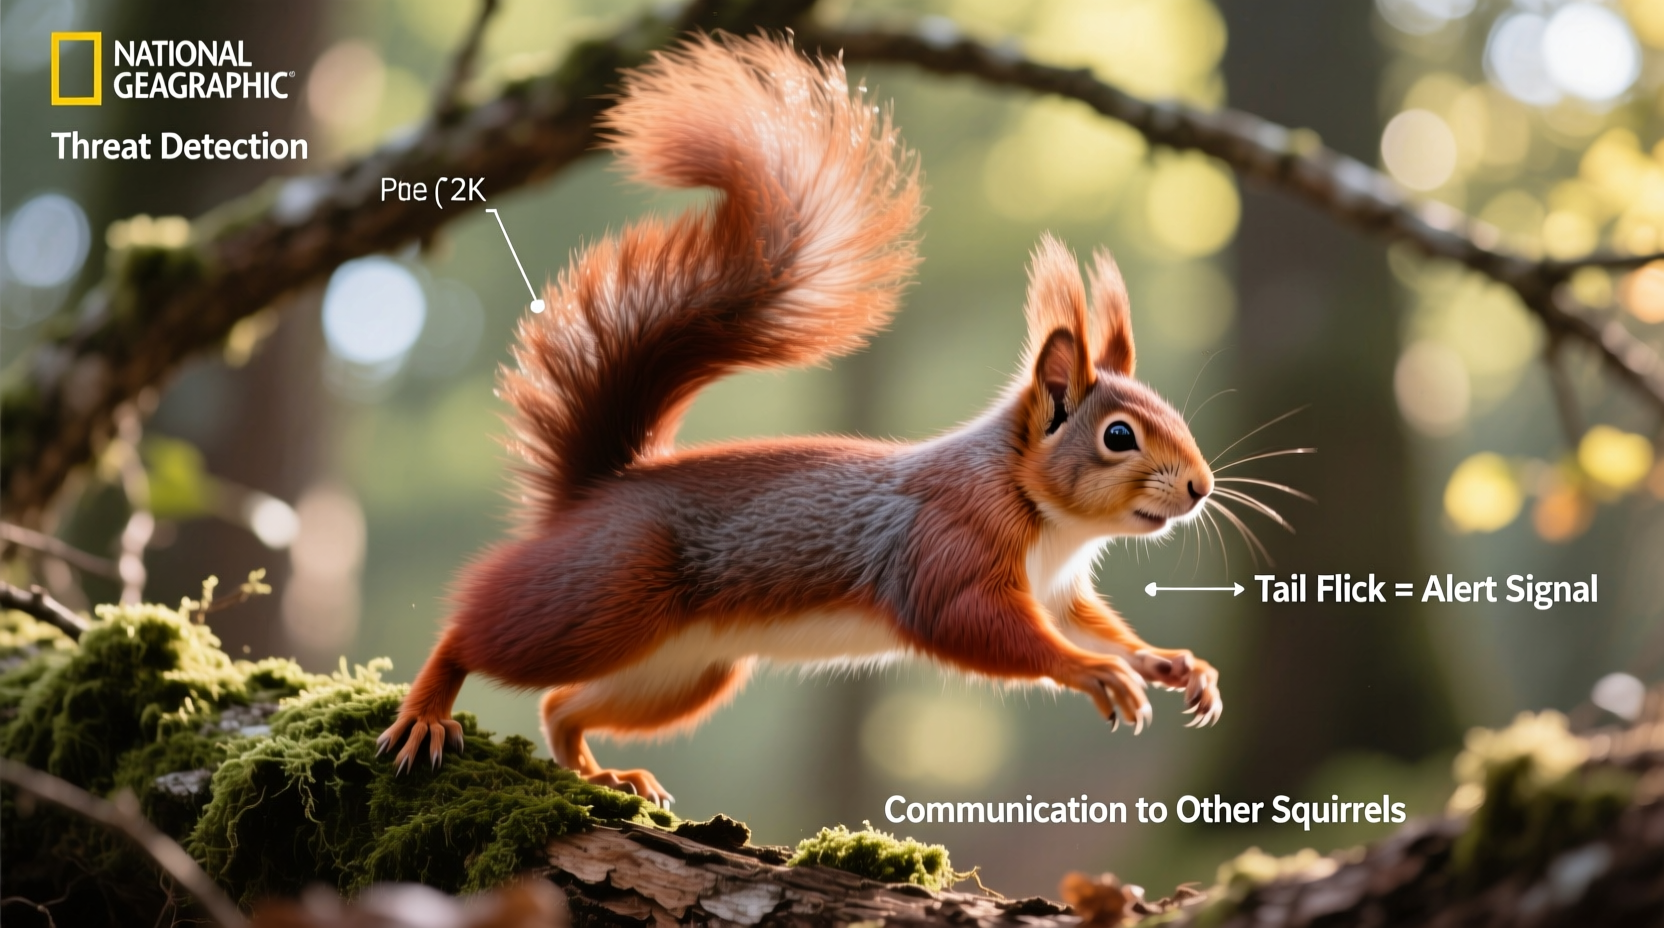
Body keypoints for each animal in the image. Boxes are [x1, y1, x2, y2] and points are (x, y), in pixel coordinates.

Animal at [377, 34, 1222, 805]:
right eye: (1119, 436)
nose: (1201, 488)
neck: (1048, 521)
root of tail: (598, 487)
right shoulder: (945, 544)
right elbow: (974, 623)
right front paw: (1093, 671)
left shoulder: (1058, 592)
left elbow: (1089, 623)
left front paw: (1170, 663)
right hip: (604, 597)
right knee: (479, 633)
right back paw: (429, 709)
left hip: (684, 670)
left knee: (561, 704)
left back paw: (601, 770)